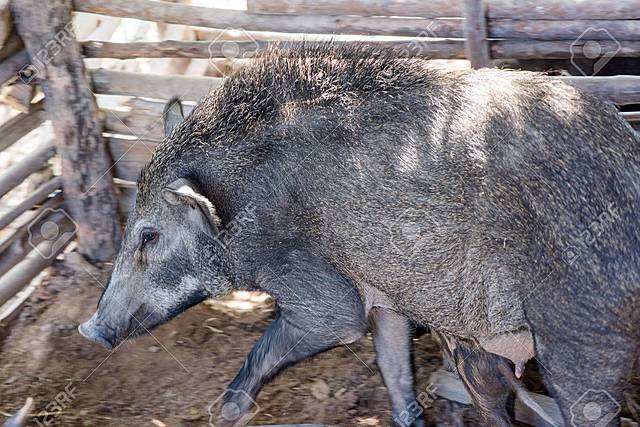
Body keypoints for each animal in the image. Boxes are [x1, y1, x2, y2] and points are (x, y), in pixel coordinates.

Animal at [79, 43, 640, 426]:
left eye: (149, 236)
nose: (89, 330)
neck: (238, 205)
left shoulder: (311, 282)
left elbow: (317, 327)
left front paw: (225, 413)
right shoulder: (384, 294)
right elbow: (391, 365)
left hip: (580, 330)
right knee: (492, 400)